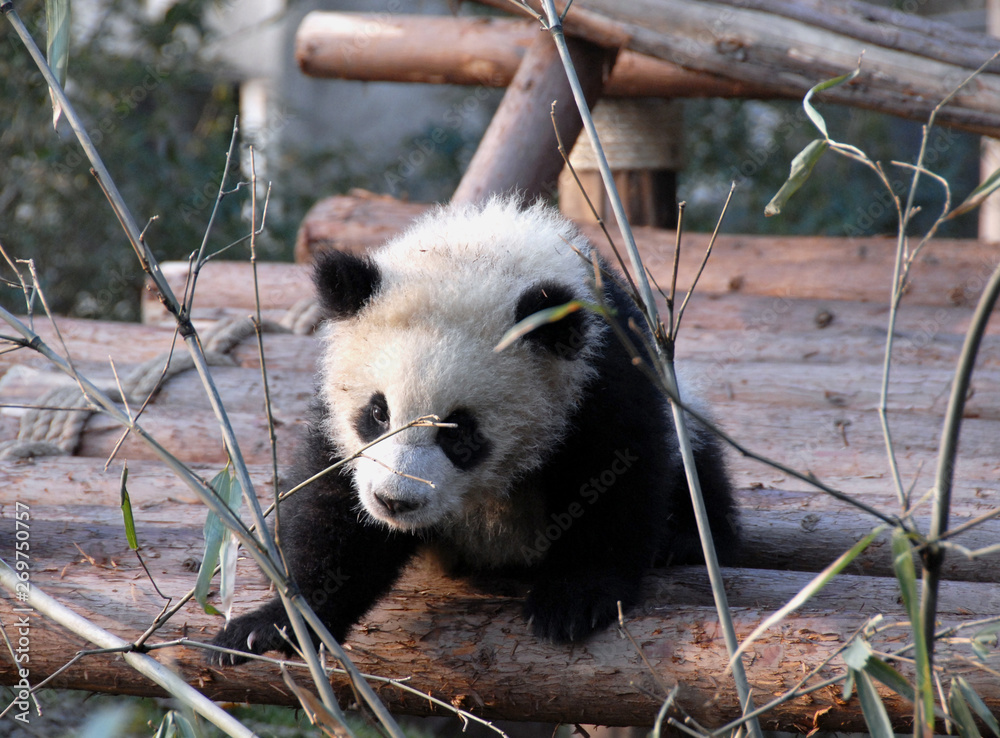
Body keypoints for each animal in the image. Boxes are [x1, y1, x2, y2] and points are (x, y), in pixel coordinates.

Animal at [209, 197, 738, 665]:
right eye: (377, 413)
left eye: (458, 432)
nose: (394, 502)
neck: (484, 254)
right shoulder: (340, 424)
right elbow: (335, 515)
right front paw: (273, 626)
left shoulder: (600, 375)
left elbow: (615, 475)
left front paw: (573, 601)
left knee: (695, 461)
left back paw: (683, 538)